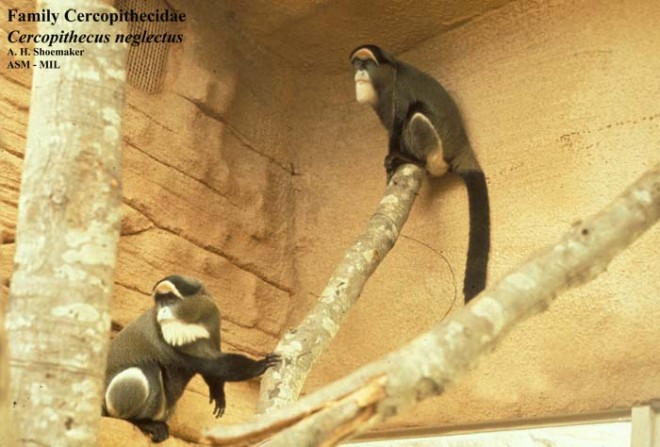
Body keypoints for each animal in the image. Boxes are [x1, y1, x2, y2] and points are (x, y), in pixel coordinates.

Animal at [103, 275, 280, 443]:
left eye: (170, 299)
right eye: (159, 301)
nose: (162, 311)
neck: (193, 320)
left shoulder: (213, 321)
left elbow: (213, 365)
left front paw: (218, 393)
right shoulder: (167, 340)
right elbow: (214, 364)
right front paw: (260, 365)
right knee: (146, 369)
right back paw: (142, 422)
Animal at [349, 44, 490, 302]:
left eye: (369, 63)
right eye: (357, 63)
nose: (361, 70)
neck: (387, 81)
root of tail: (463, 147)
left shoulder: (401, 91)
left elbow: (399, 123)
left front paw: (393, 158)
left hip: (436, 149)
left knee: (416, 116)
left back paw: (413, 159)